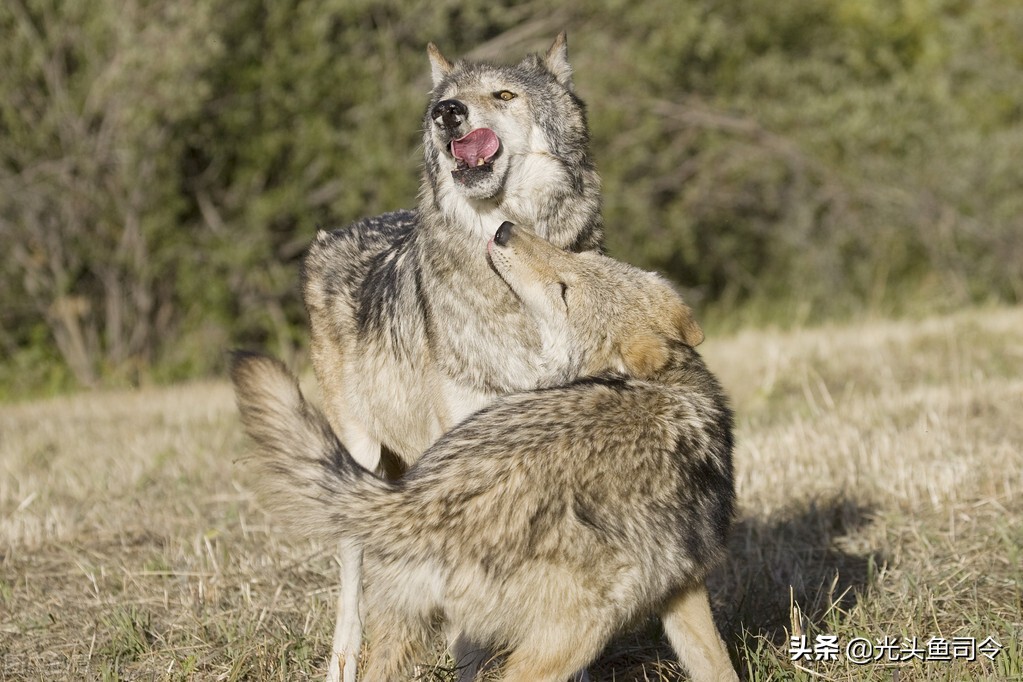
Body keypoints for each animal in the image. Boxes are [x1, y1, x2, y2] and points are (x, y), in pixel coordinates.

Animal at [233, 222, 739, 682]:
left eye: (565, 290)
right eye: (573, 265)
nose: (504, 229)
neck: (671, 385)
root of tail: (417, 502)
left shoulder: (679, 589)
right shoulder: (687, 583)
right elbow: (721, 668)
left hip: (409, 632)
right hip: (578, 635)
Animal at [301, 35, 602, 681]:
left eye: (503, 95)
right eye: (448, 100)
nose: (447, 114)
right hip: (362, 451)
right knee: (353, 560)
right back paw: (345, 658)